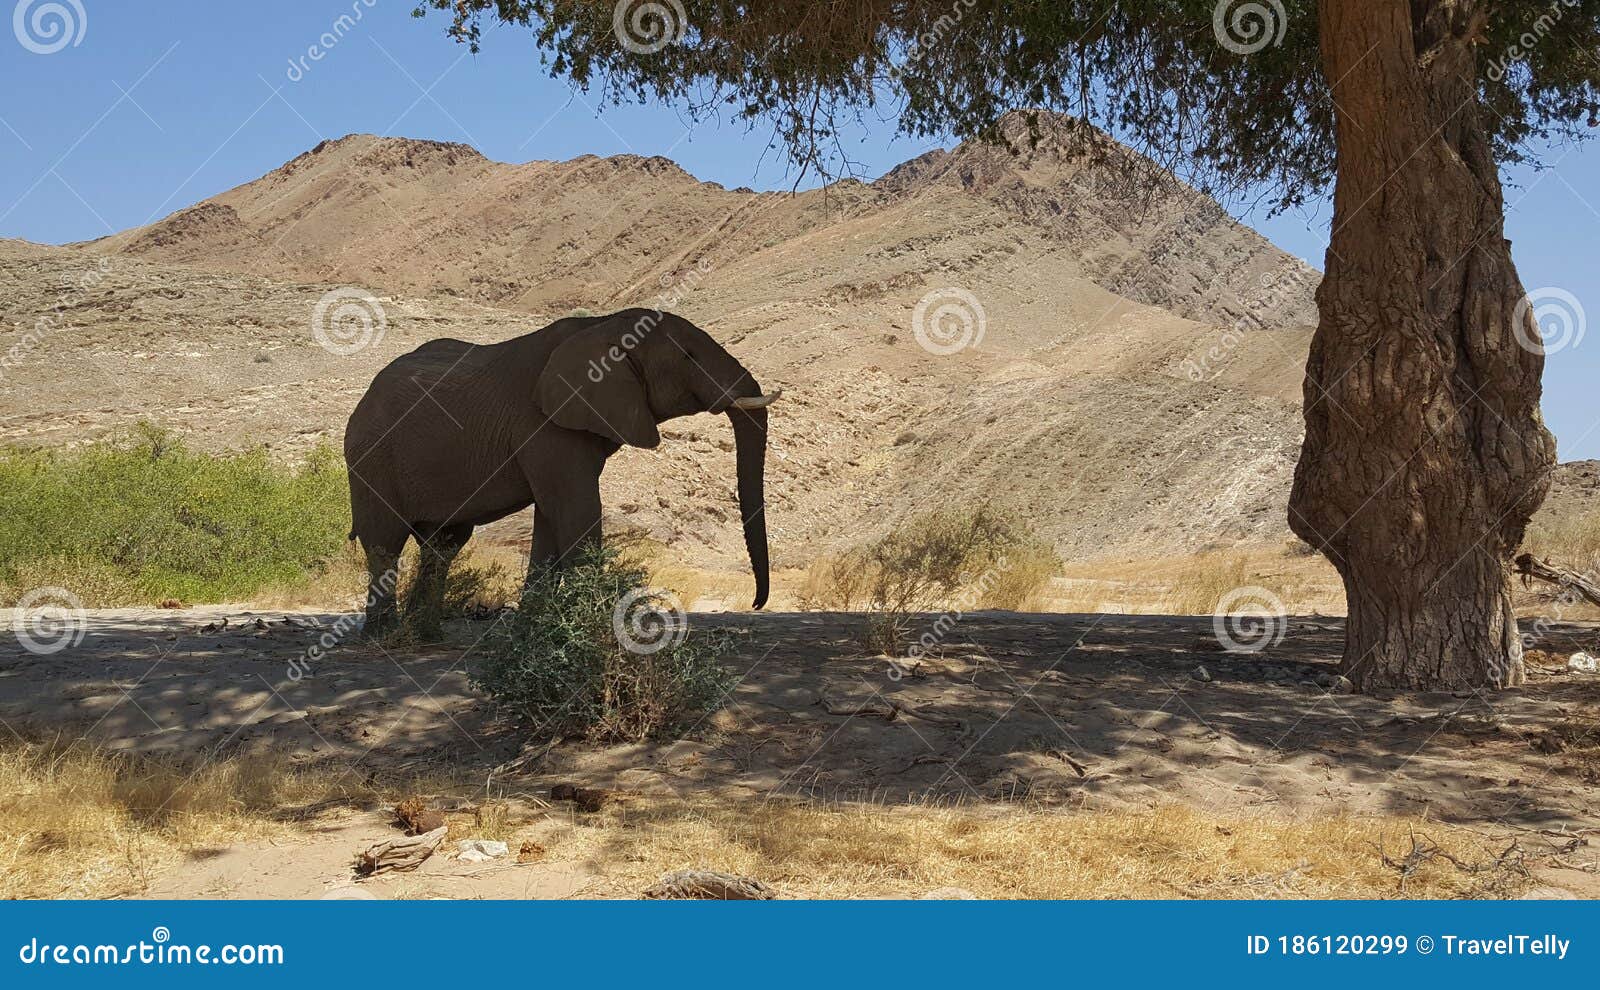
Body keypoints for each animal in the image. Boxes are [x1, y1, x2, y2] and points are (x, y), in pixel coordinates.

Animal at [342, 308, 780, 638]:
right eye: (689, 356)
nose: (757, 603)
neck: (604, 325)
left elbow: (551, 520)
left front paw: (533, 629)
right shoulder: (544, 426)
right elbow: (576, 512)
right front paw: (596, 629)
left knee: (444, 545)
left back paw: (426, 634)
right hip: (370, 459)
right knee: (385, 542)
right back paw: (384, 636)